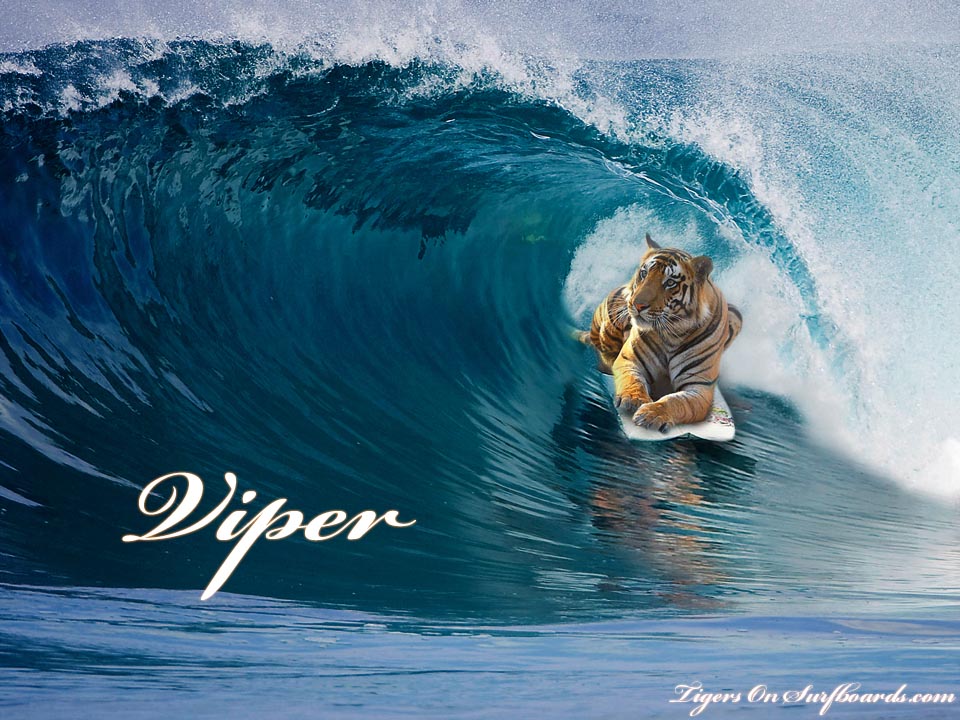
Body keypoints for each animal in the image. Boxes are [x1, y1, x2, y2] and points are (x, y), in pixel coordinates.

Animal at [578, 233, 742, 433]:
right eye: (644, 274)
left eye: (670, 282)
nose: (638, 305)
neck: (673, 334)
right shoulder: (629, 360)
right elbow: (631, 379)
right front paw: (633, 399)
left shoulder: (699, 386)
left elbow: (676, 401)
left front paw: (651, 414)